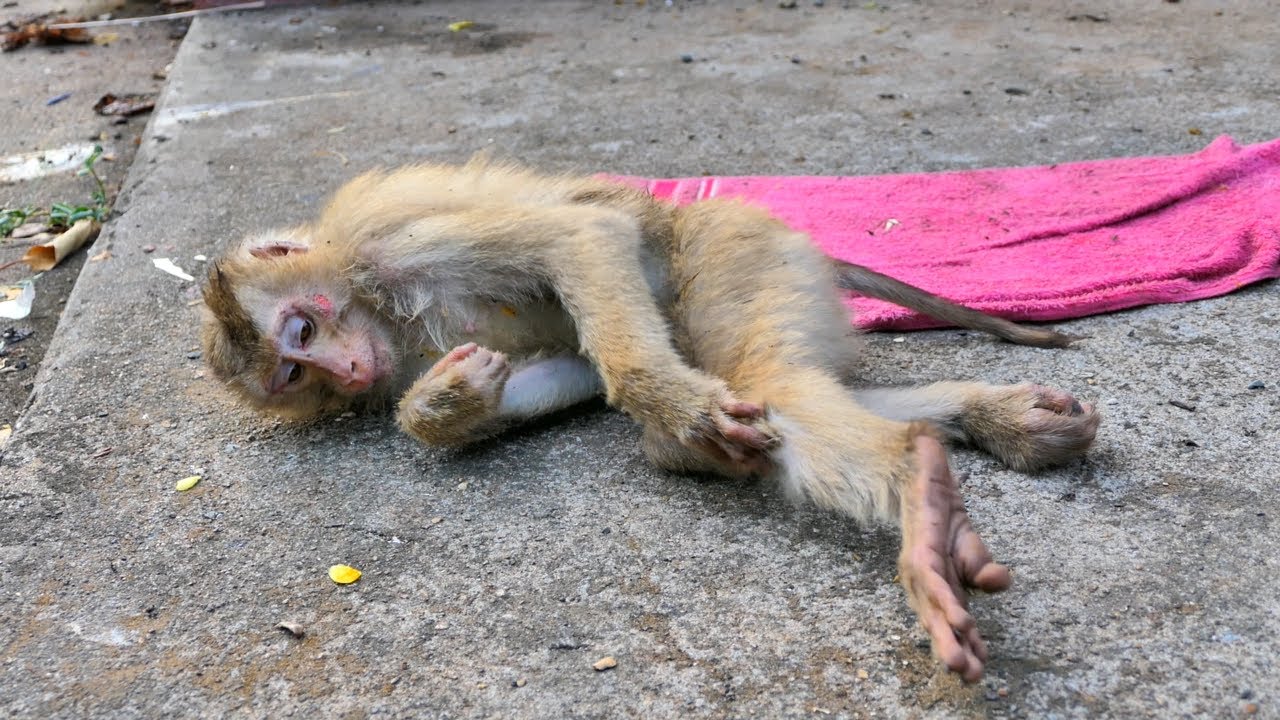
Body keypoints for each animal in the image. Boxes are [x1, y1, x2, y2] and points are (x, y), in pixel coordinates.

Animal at [200, 158, 1100, 683]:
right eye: (294, 375)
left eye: (300, 333)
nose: (348, 373)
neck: (367, 298)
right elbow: (566, 366)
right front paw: (449, 403)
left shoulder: (394, 244)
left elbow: (582, 236)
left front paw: (666, 400)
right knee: (773, 390)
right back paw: (984, 428)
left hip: (736, 250)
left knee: (763, 379)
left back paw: (919, 498)